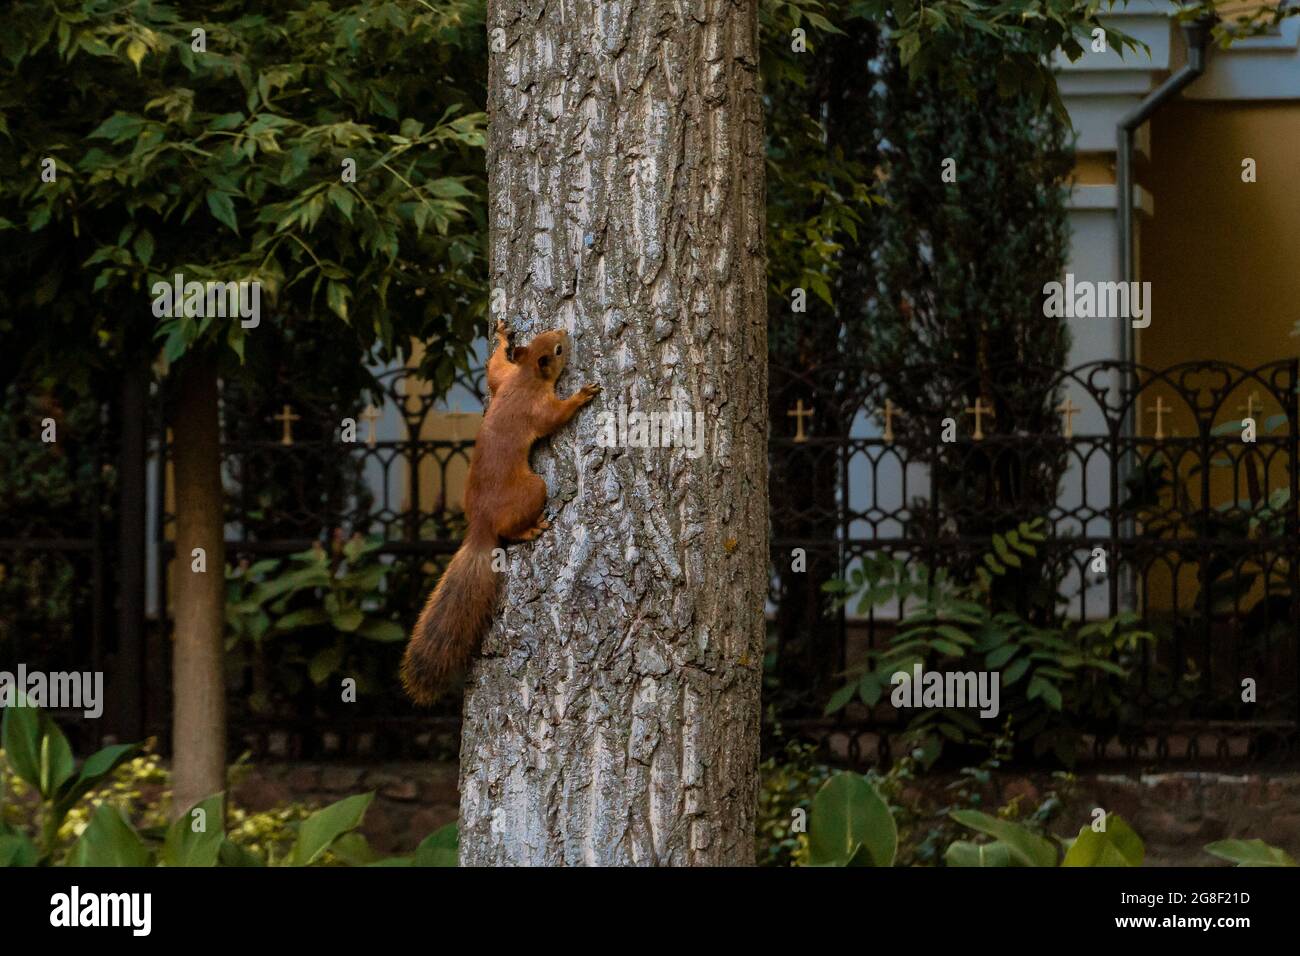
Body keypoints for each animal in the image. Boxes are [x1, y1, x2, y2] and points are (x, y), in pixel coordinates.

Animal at [400, 320, 600, 705]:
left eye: (548, 338)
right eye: (557, 350)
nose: (564, 333)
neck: (526, 378)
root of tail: (480, 526)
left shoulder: (504, 380)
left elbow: (494, 370)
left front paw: (504, 336)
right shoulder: (538, 408)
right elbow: (555, 417)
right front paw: (581, 396)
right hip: (533, 489)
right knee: (511, 528)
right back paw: (530, 529)